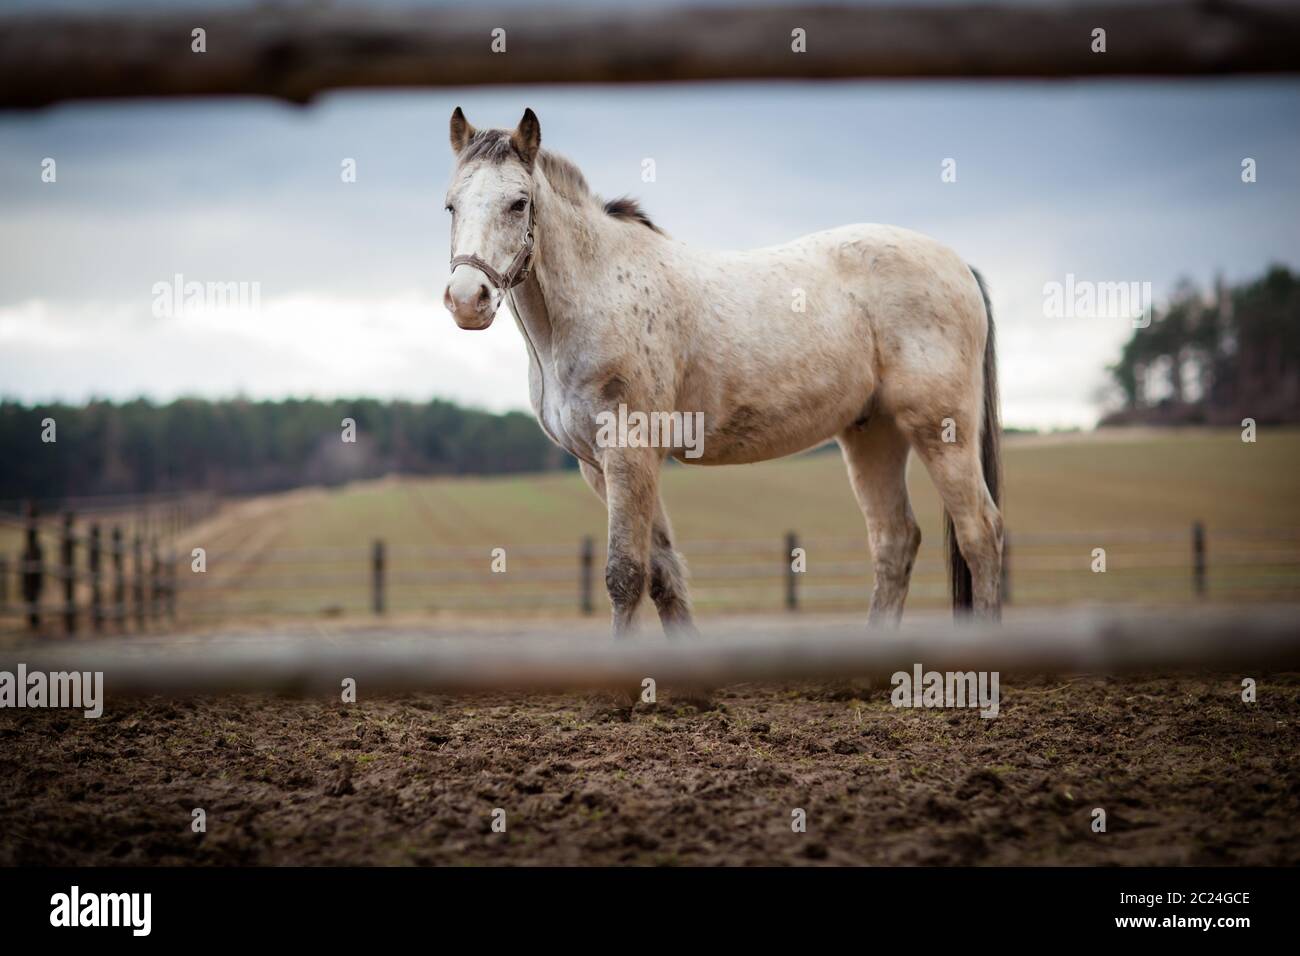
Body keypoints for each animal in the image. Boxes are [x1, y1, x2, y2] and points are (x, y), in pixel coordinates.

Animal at [442, 108, 1003, 636]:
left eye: (519, 203)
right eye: (451, 204)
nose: (468, 299)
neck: (598, 291)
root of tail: (958, 265)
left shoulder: (628, 455)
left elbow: (626, 576)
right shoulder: (601, 467)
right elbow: (664, 576)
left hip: (941, 432)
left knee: (981, 534)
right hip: (873, 434)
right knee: (895, 541)